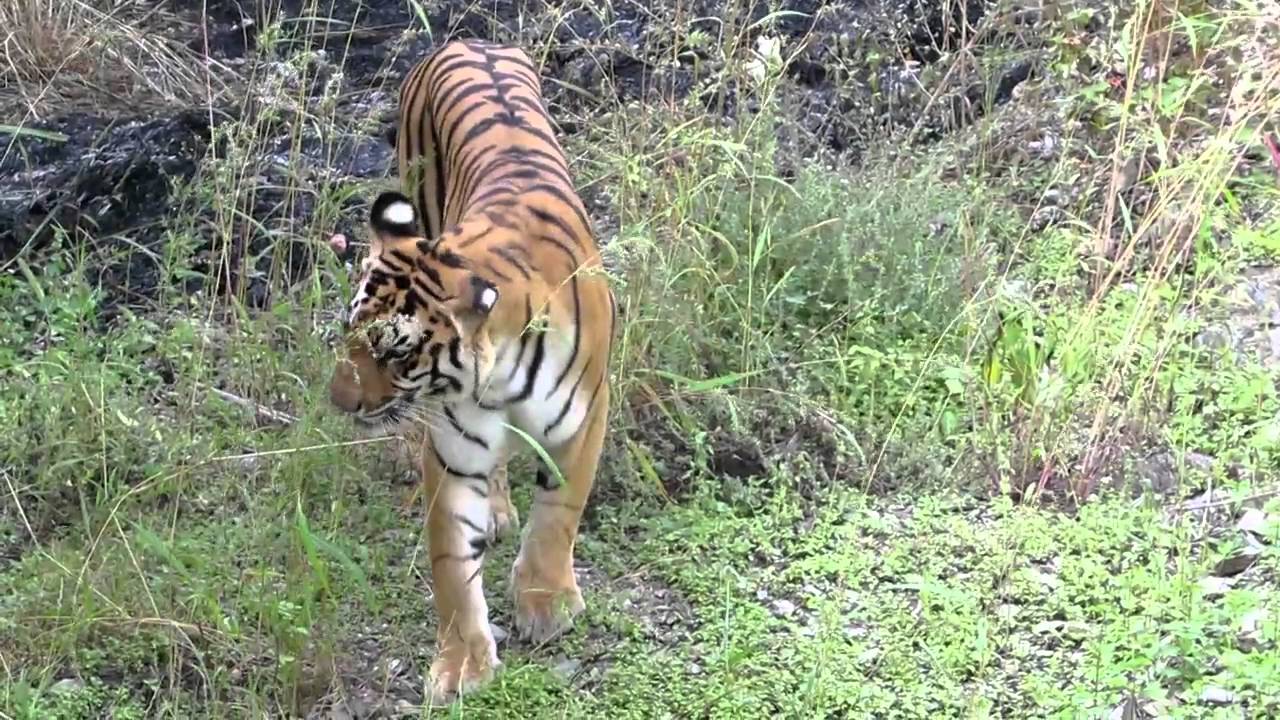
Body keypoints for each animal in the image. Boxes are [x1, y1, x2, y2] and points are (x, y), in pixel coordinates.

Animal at [326, 38, 616, 705]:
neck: (496, 374)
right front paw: (461, 666)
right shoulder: (454, 449)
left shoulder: (585, 417)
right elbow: (452, 566)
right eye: (350, 335)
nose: (339, 402)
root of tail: (469, 41)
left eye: (394, 352)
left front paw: (545, 604)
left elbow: (559, 513)